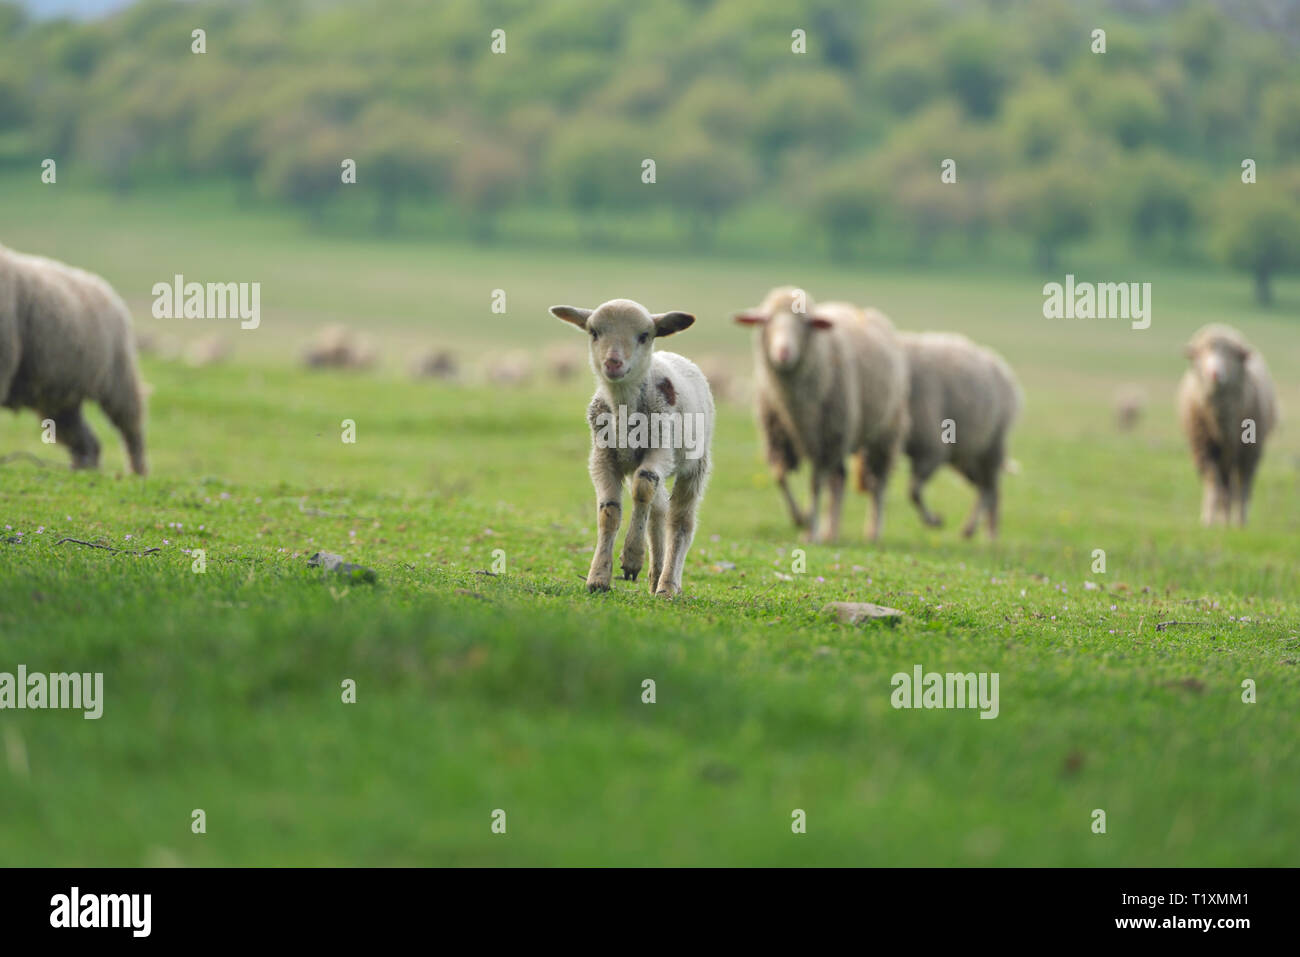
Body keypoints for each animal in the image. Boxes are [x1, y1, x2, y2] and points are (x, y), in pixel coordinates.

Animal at [0, 243, 147, 474]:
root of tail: (106, 288)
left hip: (118, 380)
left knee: (131, 429)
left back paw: (137, 472)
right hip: (60, 398)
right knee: (87, 440)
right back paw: (83, 469)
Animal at [550, 298, 713, 598]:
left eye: (644, 335)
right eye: (594, 332)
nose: (613, 363)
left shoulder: (661, 447)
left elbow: (642, 487)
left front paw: (632, 557)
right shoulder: (601, 458)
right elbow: (609, 511)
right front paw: (598, 578)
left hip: (695, 463)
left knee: (680, 521)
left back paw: (668, 586)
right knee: (659, 511)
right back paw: (655, 575)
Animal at [734, 286, 908, 542]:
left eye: (804, 324)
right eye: (767, 320)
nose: (783, 352)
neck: (796, 410)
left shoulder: (825, 443)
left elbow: (815, 484)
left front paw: (809, 530)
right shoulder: (778, 437)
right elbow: (779, 476)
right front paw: (800, 518)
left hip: (884, 431)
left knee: (878, 483)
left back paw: (872, 531)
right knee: (839, 479)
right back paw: (830, 531)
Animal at [891, 332, 1021, 539]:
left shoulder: (933, 450)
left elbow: (914, 491)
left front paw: (934, 520)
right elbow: (914, 491)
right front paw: (934, 520)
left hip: (992, 448)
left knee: (990, 490)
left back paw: (978, 531)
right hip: (967, 457)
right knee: (987, 489)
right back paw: (984, 532)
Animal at [1178, 324, 1277, 525]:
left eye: (1230, 354)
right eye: (1201, 353)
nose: (1215, 374)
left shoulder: (1249, 452)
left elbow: (1243, 487)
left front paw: (1240, 522)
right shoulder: (1205, 449)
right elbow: (1213, 485)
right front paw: (1208, 520)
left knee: (1236, 488)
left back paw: (1230, 520)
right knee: (1225, 489)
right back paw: (1222, 519)